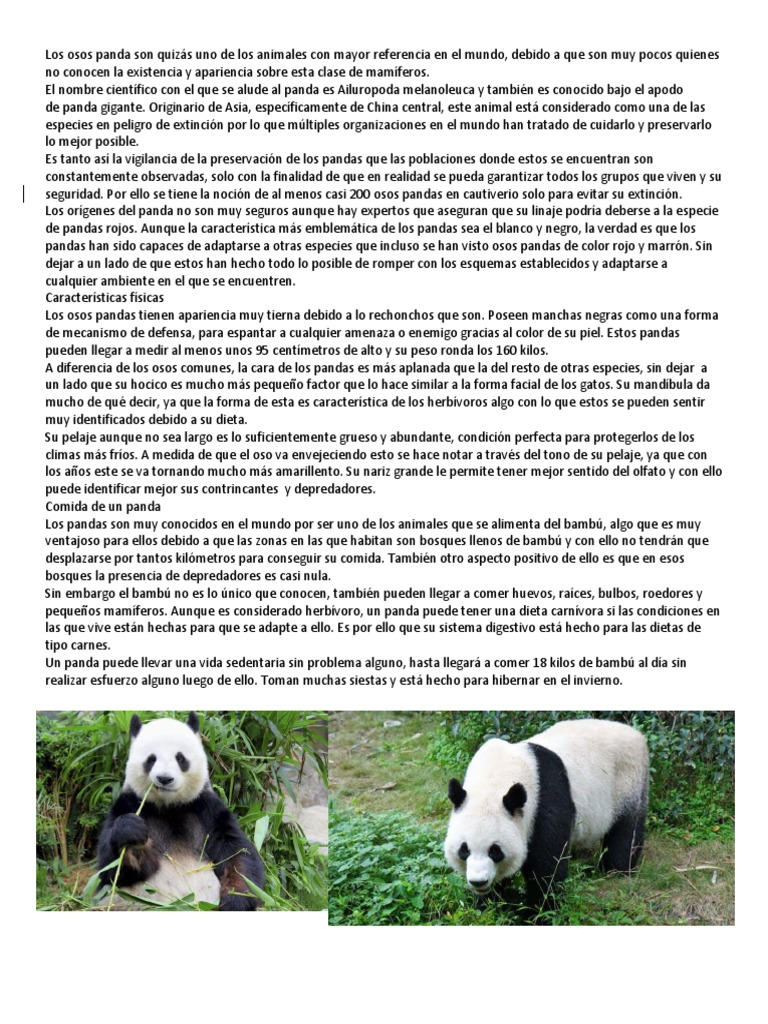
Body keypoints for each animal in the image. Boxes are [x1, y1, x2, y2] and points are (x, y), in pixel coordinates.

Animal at [98, 712, 265, 910]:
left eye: (180, 758)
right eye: (151, 759)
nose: (164, 778)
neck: (169, 806)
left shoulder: (207, 809)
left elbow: (236, 854)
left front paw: (236, 901)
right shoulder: (129, 804)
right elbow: (113, 870)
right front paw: (131, 836)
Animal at [444, 718, 649, 919]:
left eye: (495, 851)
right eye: (464, 850)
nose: (478, 882)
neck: (495, 780)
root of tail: (635, 733)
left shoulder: (544, 803)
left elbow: (546, 866)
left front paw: (538, 914)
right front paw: (486, 905)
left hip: (627, 782)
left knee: (626, 832)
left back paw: (616, 869)